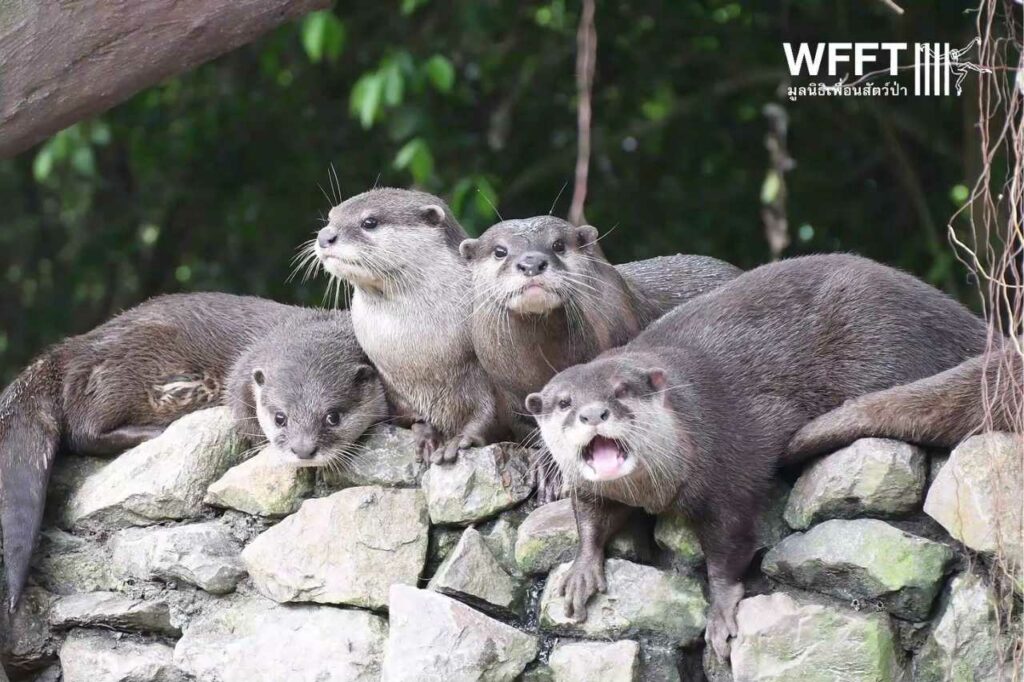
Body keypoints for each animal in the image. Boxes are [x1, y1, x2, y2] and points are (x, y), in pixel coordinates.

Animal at [0, 294, 384, 611]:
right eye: (280, 417)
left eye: (332, 416)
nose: (303, 449)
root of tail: (67, 351)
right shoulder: (241, 377)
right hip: (114, 374)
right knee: (84, 429)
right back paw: (152, 431)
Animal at [313, 188, 515, 464]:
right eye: (331, 217)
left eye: (369, 222)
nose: (325, 236)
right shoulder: (389, 379)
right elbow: (407, 414)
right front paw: (426, 434)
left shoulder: (483, 372)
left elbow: (489, 412)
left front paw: (462, 439)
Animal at [525, 254, 987, 659]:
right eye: (565, 402)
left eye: (621, 391)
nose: (593, 412)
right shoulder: (595, 486)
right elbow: (589, 512)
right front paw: (582, 568)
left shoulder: (731, 463)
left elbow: (729, 547)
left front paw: (721, 612)